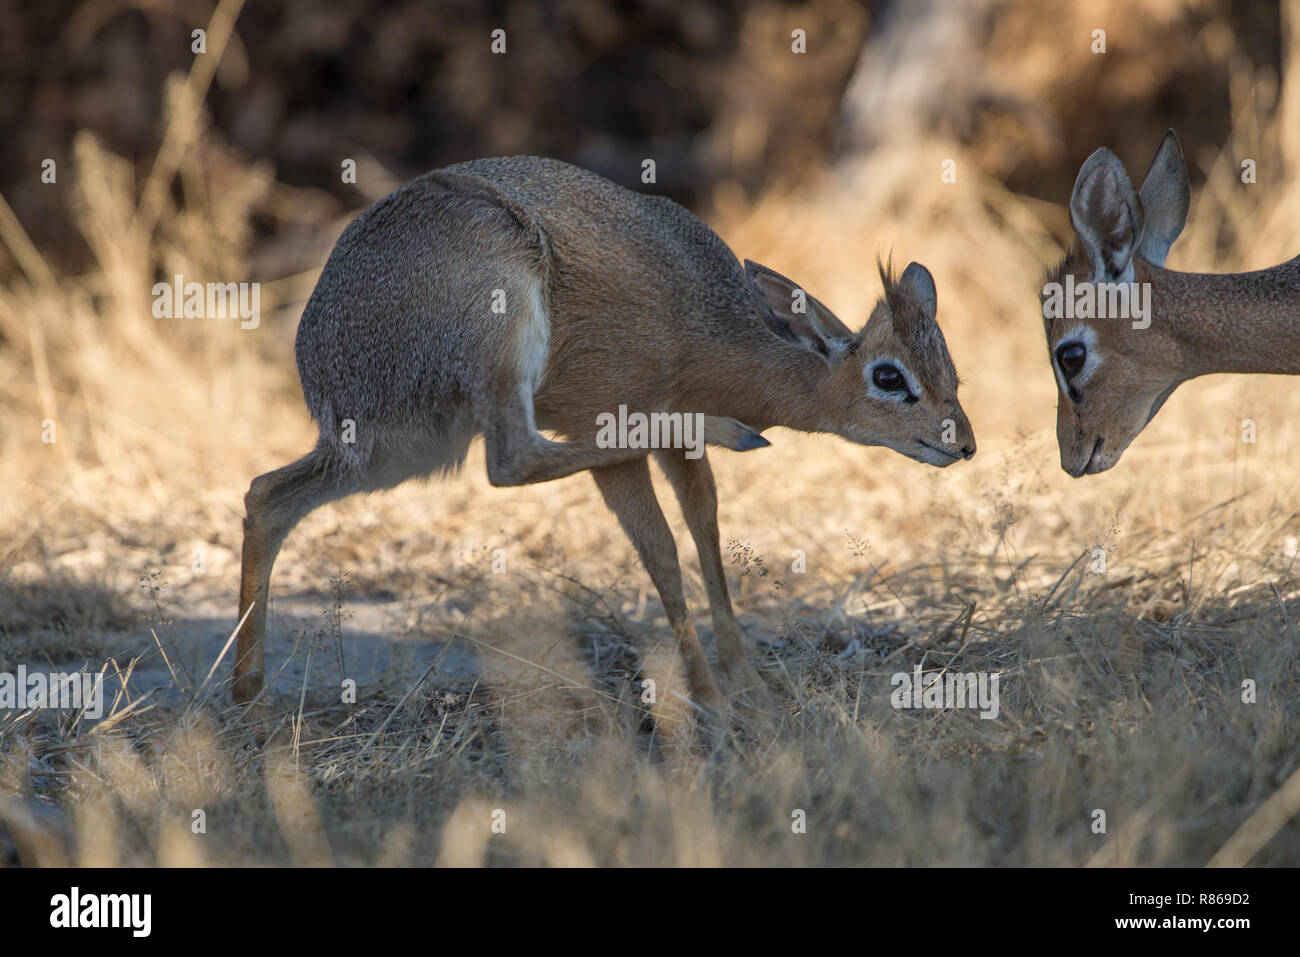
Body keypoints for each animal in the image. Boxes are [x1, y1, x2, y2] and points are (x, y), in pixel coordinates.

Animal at [233, 156, 975, 719]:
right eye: (889, 375)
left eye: (951, 371)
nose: (963, 443)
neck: (704, 329)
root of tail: (320, 359)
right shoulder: (617, 424)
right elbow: (663, 552)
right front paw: (712, 698)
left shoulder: (680, 455)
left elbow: (707, 533)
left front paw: (750, 684)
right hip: (491, 358)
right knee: (512, 459)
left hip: (394, 451)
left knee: (267, 494)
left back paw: (248, 695)